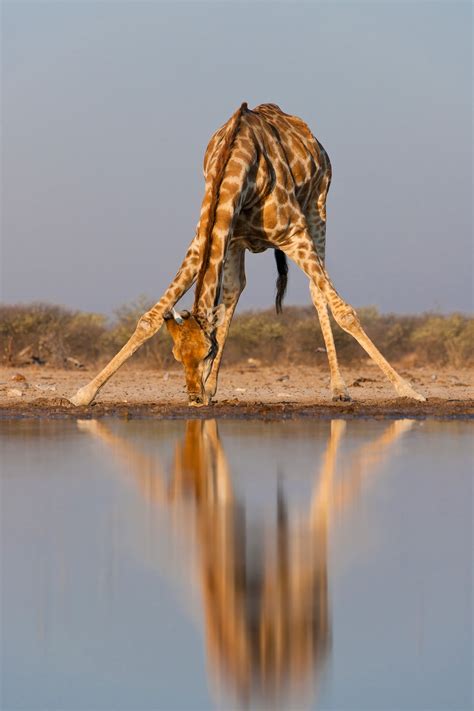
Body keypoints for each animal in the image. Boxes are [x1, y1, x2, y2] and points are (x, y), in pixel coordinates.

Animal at [70, 103, 425, 407]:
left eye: (207, 353)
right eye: (176, 356)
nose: (194, 398)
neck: (238, 168)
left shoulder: (294, 233)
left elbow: (344, 311)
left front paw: (408, 389)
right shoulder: (206, 240)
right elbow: (150, 318)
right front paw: (84, 393)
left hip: (318, 208)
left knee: (316, 291)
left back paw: (339, 389)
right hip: (236, 243)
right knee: (233, 291)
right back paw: (214, 386)